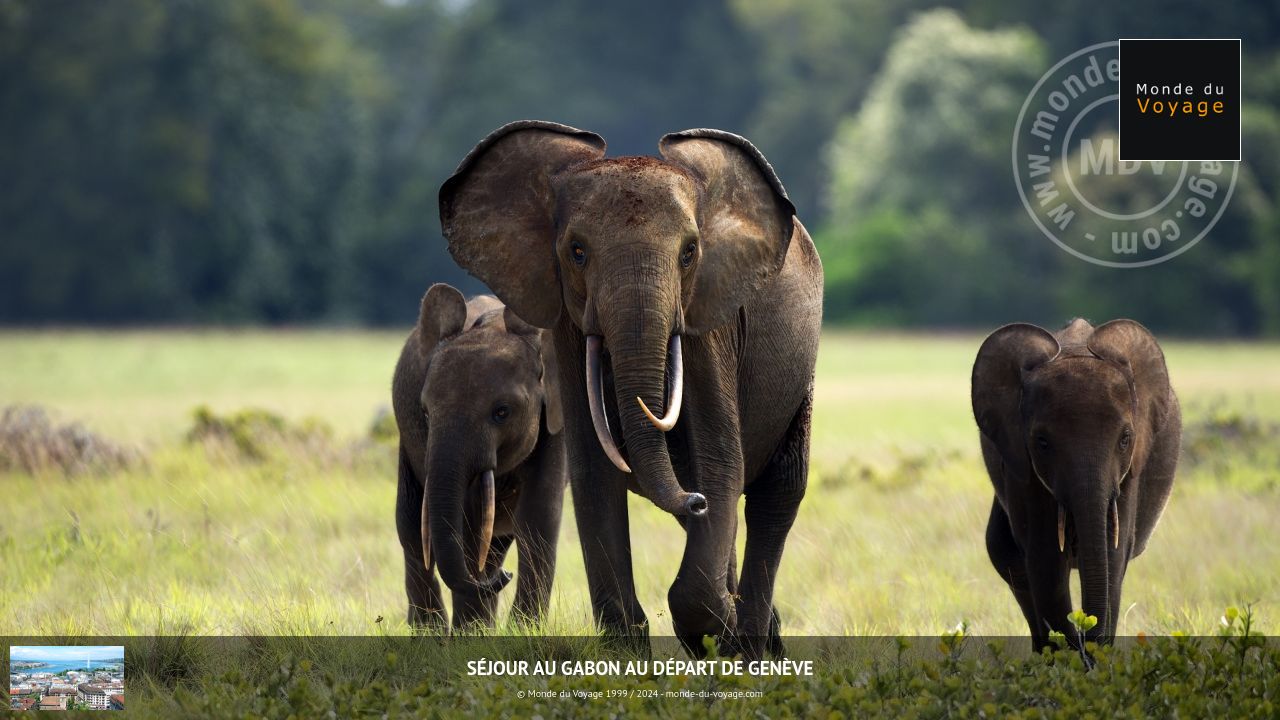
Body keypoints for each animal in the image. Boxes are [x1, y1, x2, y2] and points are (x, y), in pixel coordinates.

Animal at [391, 280, 568, 627]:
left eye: (502, 412)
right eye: (426, 413)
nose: (504, 577)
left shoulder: (558, 419)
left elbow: (538, 513)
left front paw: (524, 629)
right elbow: (467, 520)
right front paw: (472, 632)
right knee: (410, 521)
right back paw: (431, 629)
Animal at [437, 121, 819, 655]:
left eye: (689, 252)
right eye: (577, 252)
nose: (695, 500)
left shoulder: (709, 320)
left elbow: (720, 458)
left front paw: (715, 631)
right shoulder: (566, 324)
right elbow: (594, 470)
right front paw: (632, 652)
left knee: (777, 493)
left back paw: (751, 647)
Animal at [972, 316, 1182, 648]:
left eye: (1125, 439)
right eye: (1042, 443)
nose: (1087, 636)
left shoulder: (1130, 473)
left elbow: (1112, 556)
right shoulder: (1023, 468)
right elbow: (1045, 560)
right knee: (1008, 560)